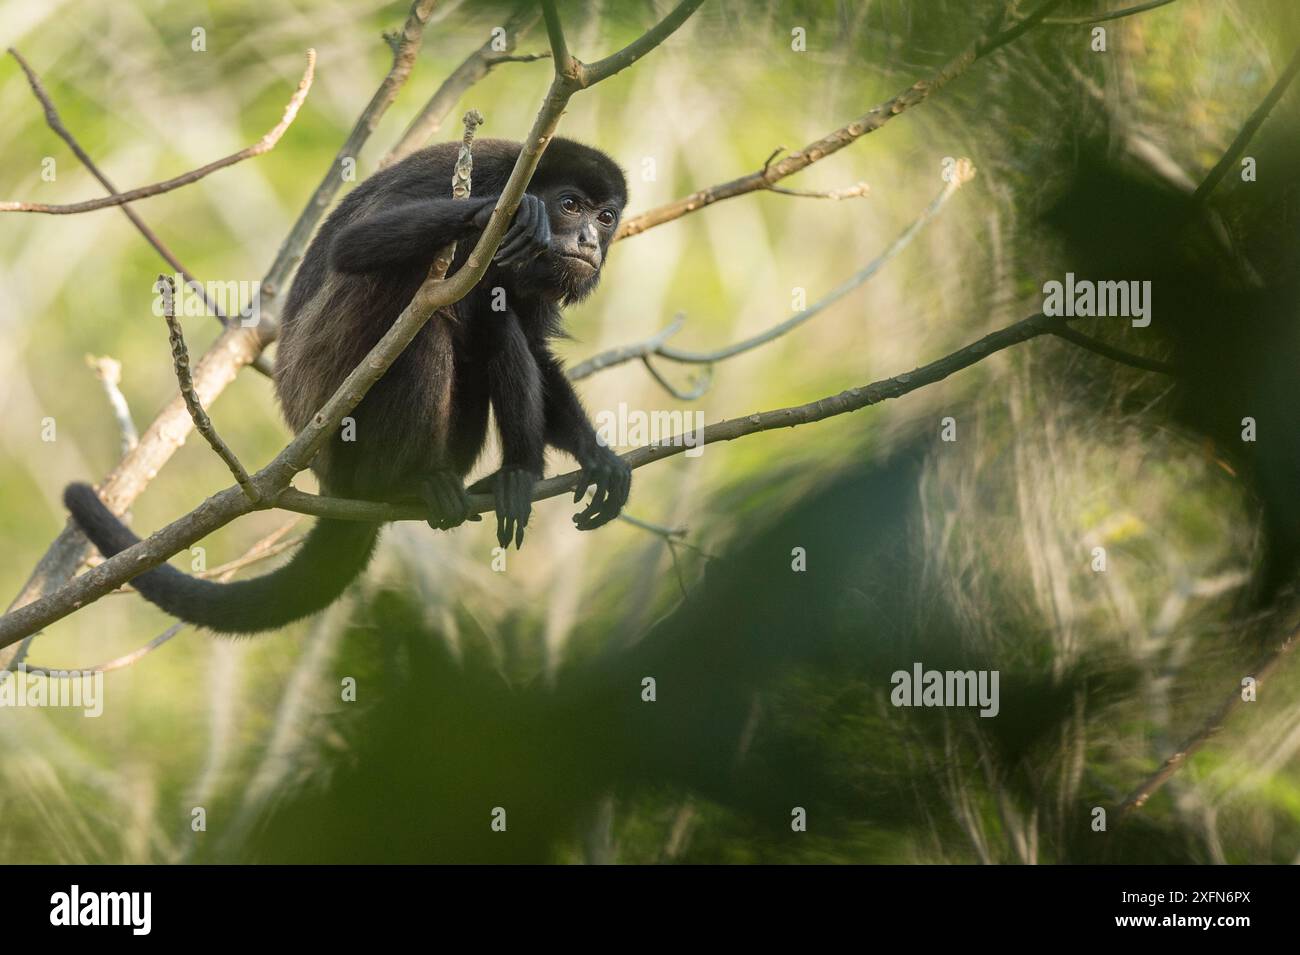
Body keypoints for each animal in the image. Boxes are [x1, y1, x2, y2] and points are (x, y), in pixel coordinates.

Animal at [63, 137, 633, 635]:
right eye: (570, 205)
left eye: (605, 216)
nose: (588, 241)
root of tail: (330, 482)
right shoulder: (481, 178)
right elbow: (353, 246)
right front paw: (508, 213)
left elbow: (535, 346)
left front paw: (596, 455)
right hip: (350, 445)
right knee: (423, 315)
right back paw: (415, 484)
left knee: (498, 325)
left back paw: (514, 477)